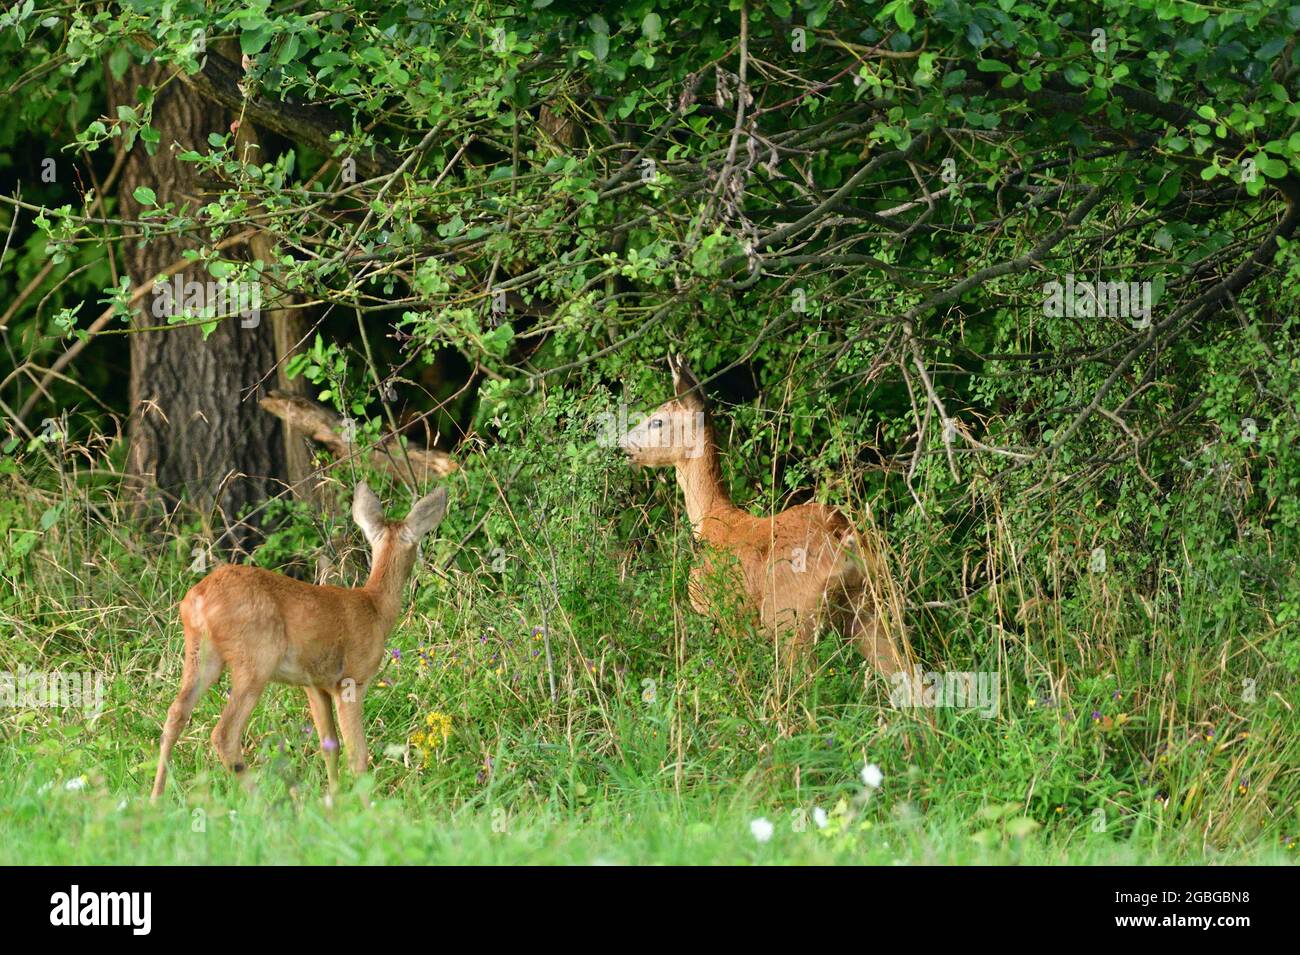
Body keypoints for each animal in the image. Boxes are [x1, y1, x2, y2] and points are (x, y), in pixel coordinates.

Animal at [150, 483, 448, 801]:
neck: (375, 608)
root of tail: (197, 599)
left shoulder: (314, 685)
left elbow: (330, 746)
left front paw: (334, 797)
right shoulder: (351, 679)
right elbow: (357, 753)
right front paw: (363, 803)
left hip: (200, 653)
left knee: (175, 713)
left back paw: (156, 798)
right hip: (254, 660)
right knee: (224, 733)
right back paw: (266, 800)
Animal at [619, 355, 908, 678]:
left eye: (657, 420)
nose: (622, 442)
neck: (711, 519)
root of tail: (843, 544)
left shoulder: (725, 615)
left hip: (791, 618)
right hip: (868, 606)